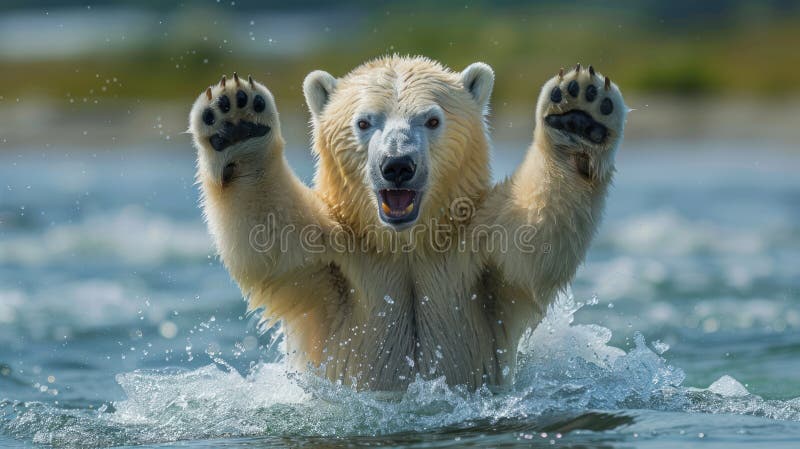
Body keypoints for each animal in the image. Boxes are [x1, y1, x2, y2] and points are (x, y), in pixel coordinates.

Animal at [188, 56, 626, 391]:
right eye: (364, 122)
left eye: (431, 120)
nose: (397, 165)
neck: (406, 243)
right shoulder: (333, 261)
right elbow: (268, 238)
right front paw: (235, 119)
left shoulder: (474, 250)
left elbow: (533, 243)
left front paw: (580, 111)